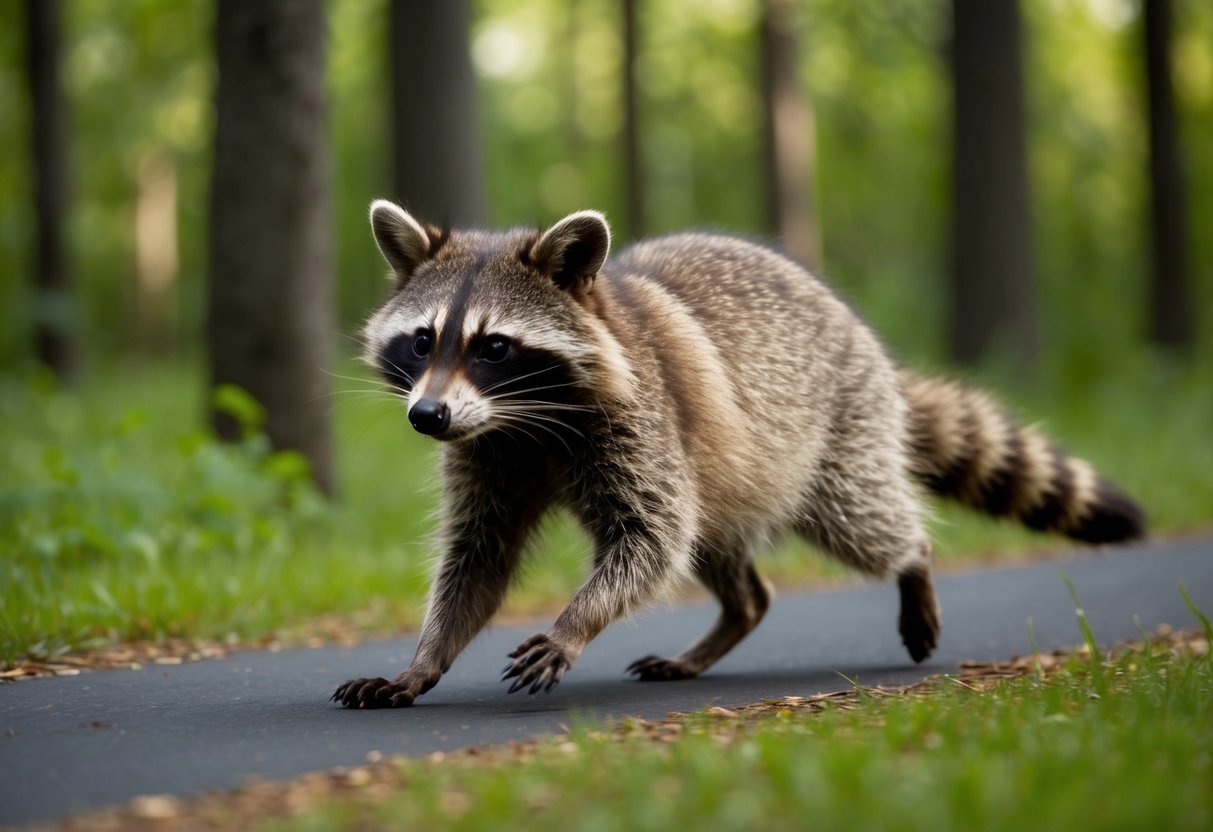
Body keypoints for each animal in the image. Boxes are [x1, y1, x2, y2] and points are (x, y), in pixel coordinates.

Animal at [332, 200, 1145, 708]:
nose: (426, 416)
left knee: (862, 523)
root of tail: (862, 334)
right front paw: (423, 660)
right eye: (423, 341)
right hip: (732, 472)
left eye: (494, 346)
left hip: (832, 435)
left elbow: (650, 539)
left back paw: (913, 562)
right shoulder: (489, 452)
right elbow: (478, 557)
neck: (525, 418)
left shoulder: (639, 422)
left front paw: (575, 623)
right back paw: (734, 615)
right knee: (722, 552)